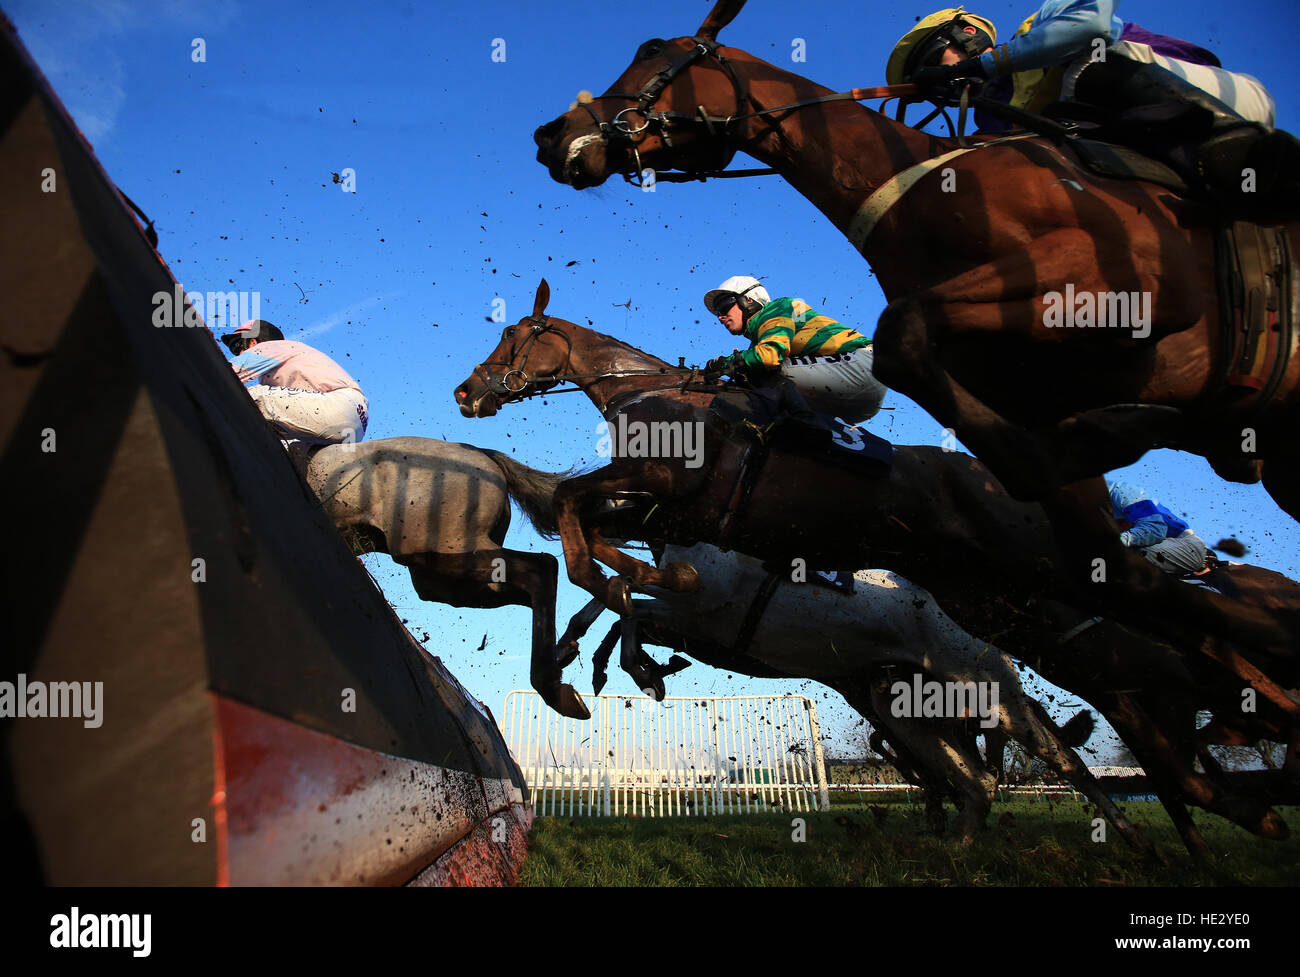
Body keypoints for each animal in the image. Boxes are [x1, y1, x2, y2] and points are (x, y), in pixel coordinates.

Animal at [300, 437, 590, 720]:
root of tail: (482, 452)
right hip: (443, 580)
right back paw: (564, 650)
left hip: (436, 548)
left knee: (541, 567)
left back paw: (553, 688)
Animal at [529, 0, 1300, 661]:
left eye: (654, 51)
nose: (549, 136)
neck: (933, 189)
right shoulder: (1021, 405)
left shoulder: (1134, 279)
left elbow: (897, 335)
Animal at [555, 540, 1145, 847]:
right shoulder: (695, 623)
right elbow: (621, 608)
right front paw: (610, 661)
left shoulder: (700, 609)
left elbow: (625, 604)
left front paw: (631, 668)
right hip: (906, 710)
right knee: (976, 778)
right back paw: (957, 844)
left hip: (989, 693)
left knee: (1061, 759)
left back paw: (1127, 832)